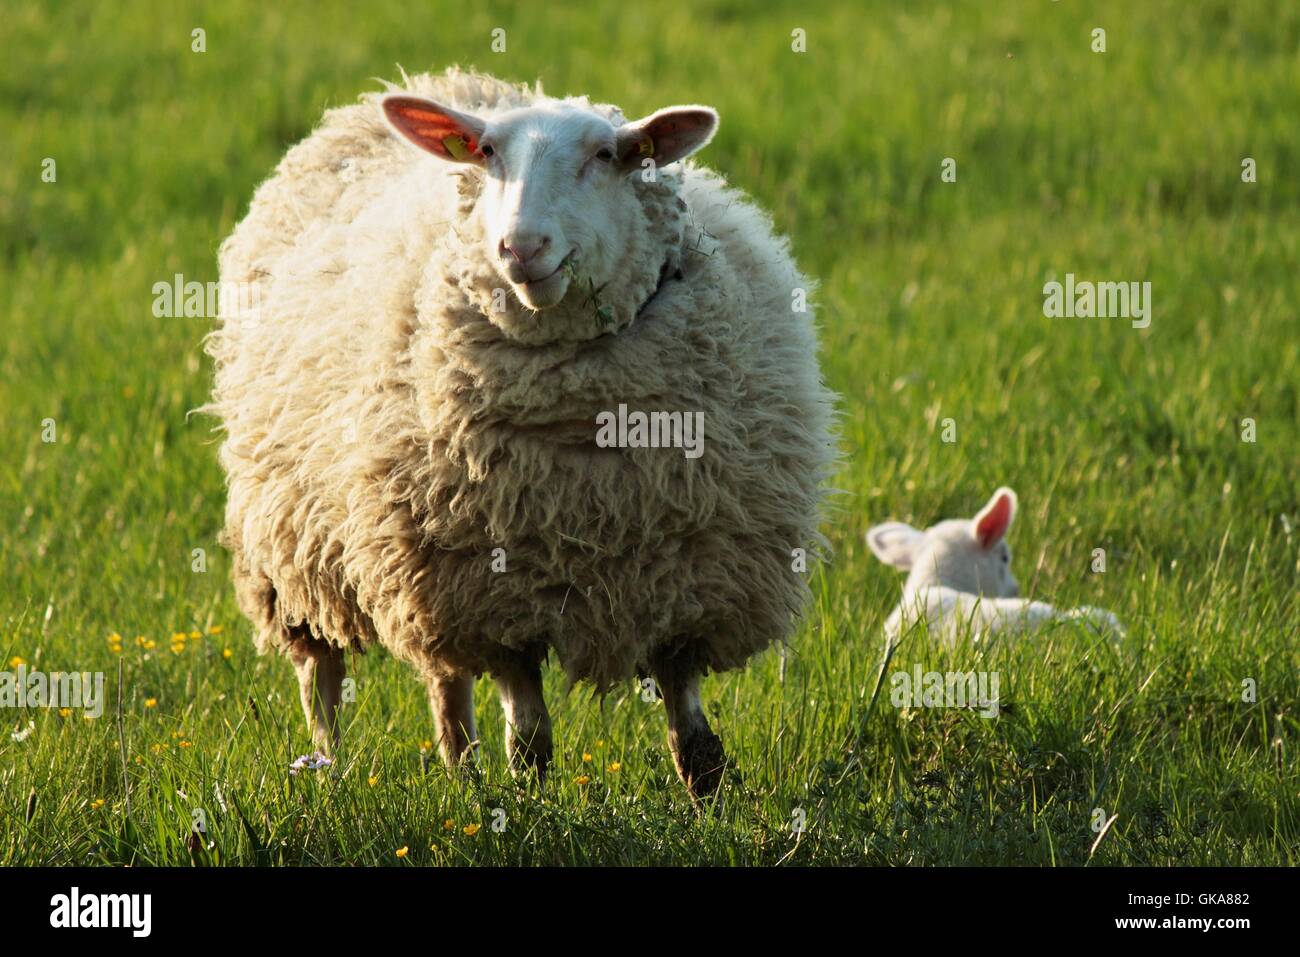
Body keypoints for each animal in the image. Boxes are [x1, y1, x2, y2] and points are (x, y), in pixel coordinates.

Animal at [204, 68, 837, 797]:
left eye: (607, 155)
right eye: (488, 154)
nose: (521, 247)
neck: (582, 438)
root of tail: (442, 81)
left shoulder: (690, 578)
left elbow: (695, 732)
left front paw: (709, 802)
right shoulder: (494, 591)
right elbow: (530, 738)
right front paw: (530, 803)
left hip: (411, 553)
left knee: (445, 681)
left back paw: (460, 769)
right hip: (299, 543)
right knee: (321, 679)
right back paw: (328, 770)